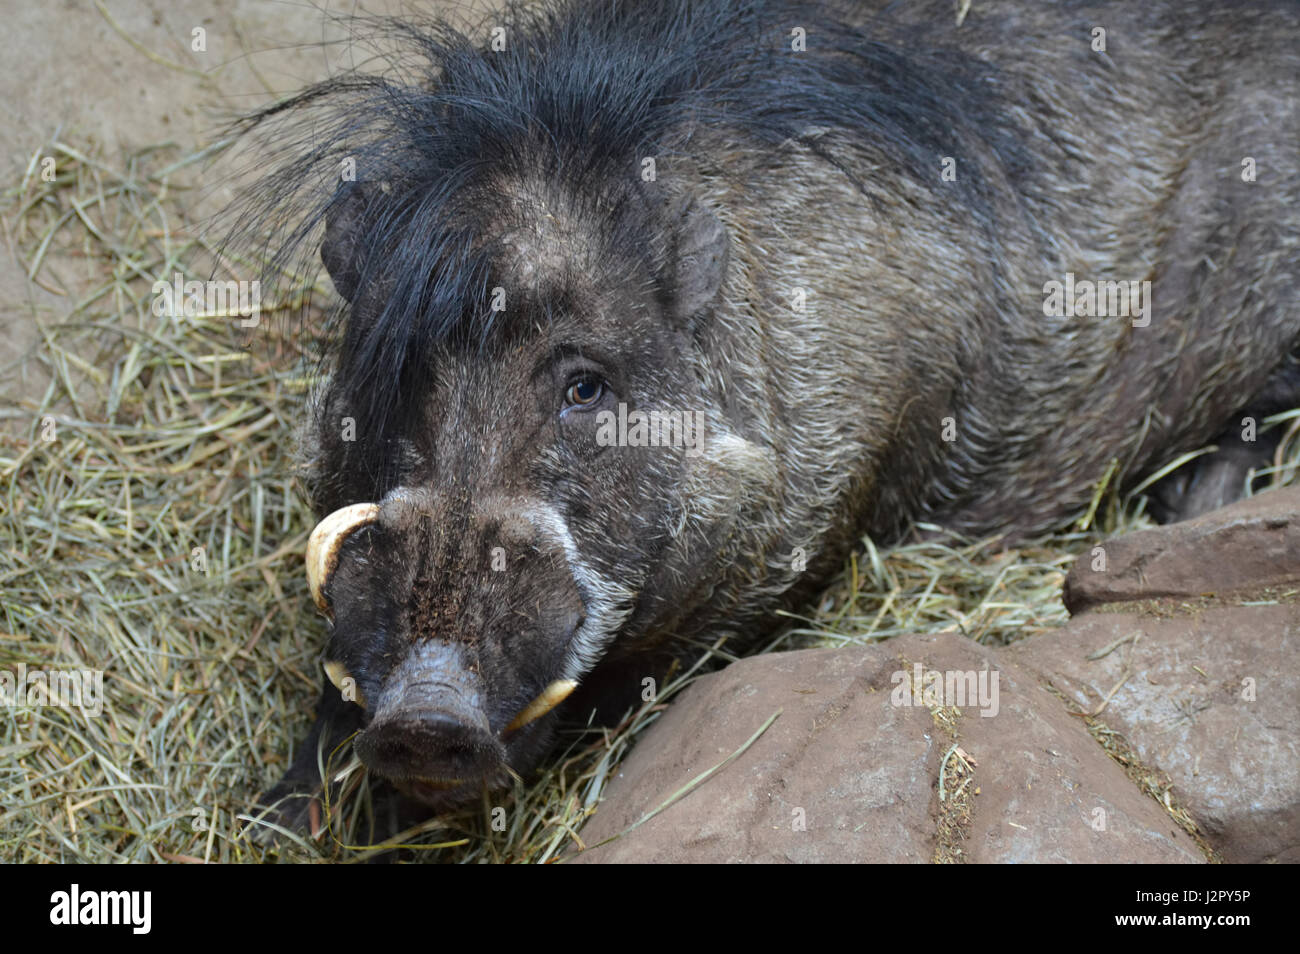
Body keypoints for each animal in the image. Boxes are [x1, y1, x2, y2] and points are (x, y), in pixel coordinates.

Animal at [232, 0, 1300, 825]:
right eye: (396, 375)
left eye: (586, 385)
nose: (426, 717)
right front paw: (284, 811)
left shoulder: (804, 537)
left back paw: (1197, 510)